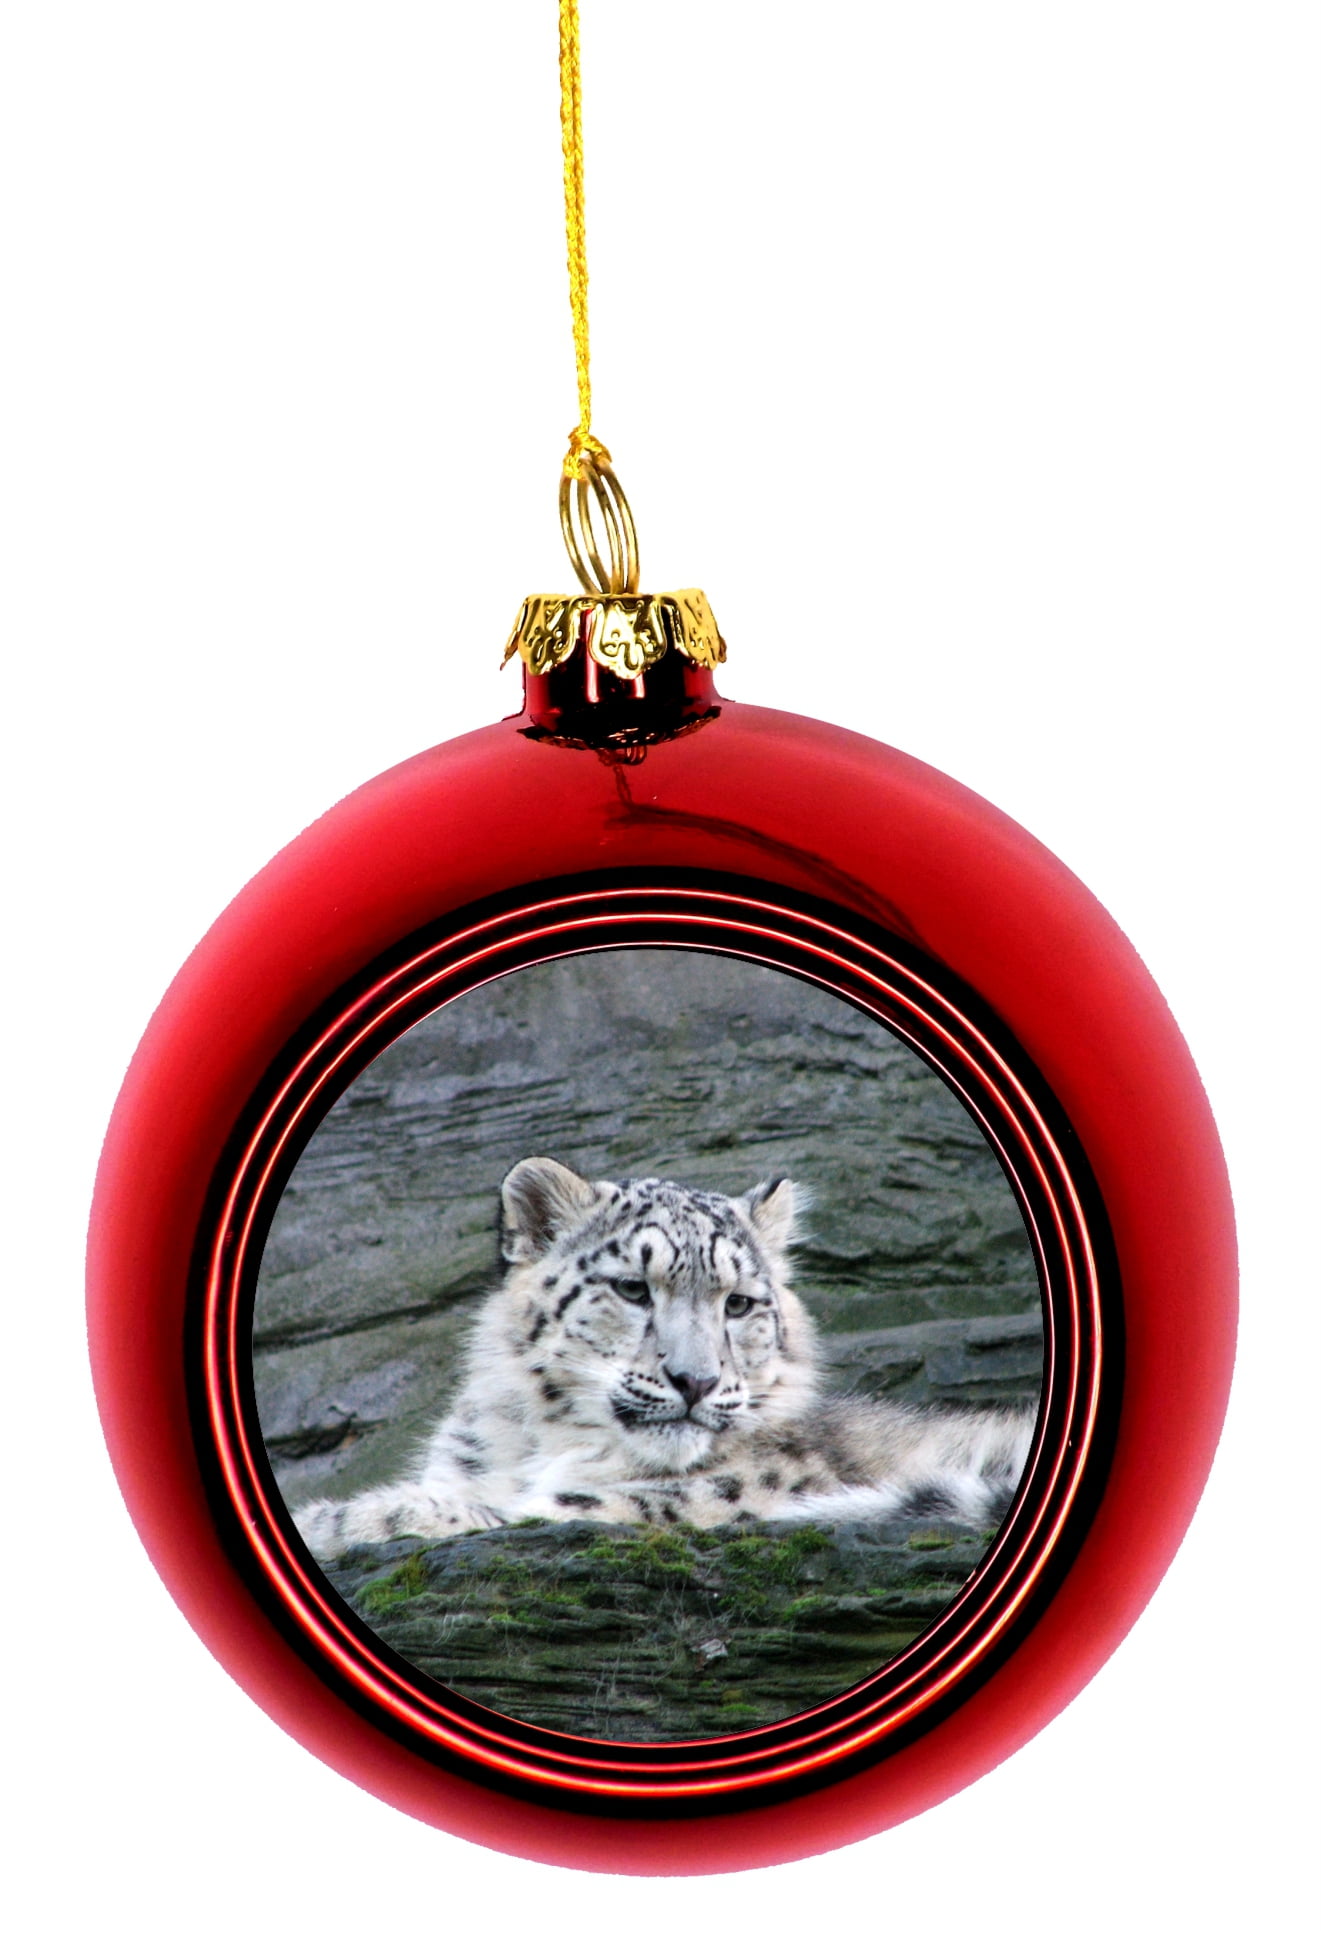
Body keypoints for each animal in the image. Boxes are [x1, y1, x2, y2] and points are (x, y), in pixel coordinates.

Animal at [293, 1156, 1036, 1561]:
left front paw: (339, 1517)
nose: (695, 1379)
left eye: (738, 1303)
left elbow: (536, 1508)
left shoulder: (712, 1499)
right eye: (631, 1288)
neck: (537, 1444)